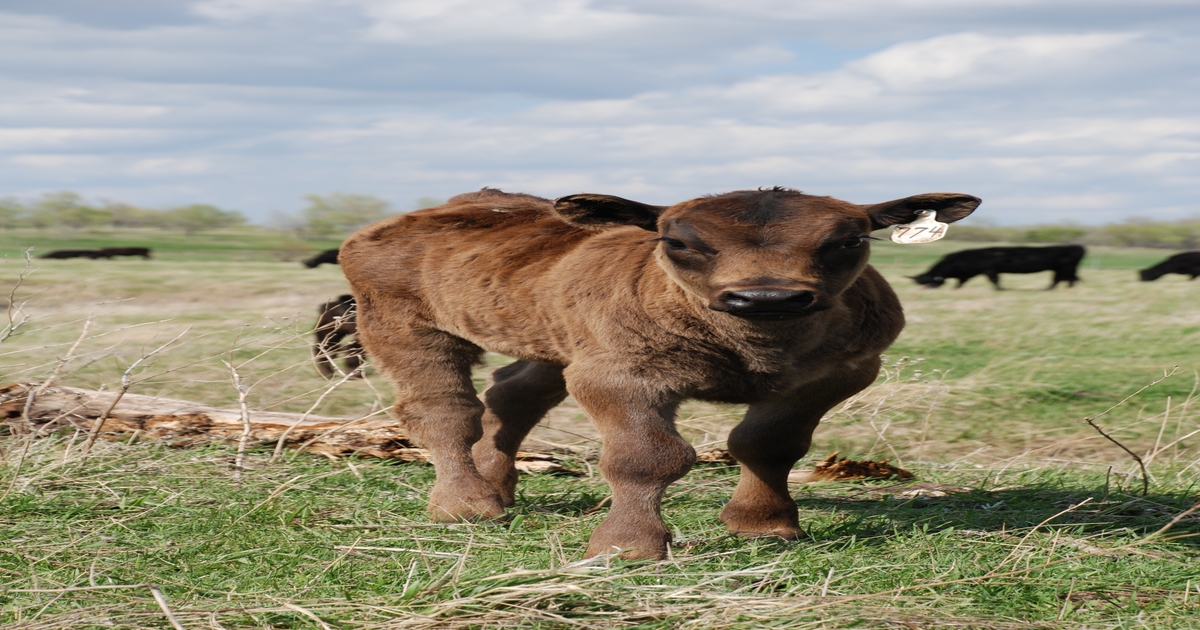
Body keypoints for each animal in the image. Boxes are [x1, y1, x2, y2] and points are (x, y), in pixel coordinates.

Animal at [340, 186, 981, 560]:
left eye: (849, 239)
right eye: (678, 241)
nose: (766, 295)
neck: (757, 349)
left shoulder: (837, 374)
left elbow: (767, 444)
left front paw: (763, 524)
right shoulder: (616, 373)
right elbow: (646, 458)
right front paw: (626, 545)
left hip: (552, 336)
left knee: (512, 398)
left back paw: (496, 485)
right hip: (401, 322)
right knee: (445, 412)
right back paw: (465, 503)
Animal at [911, 245, 1085, 290]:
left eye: (927, 280)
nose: (923, 290)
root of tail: (1077, 246)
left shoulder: (990, 270)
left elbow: (994, 281)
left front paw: (999, 289)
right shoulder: (971, 273)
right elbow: (962, 281)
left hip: (1065, 268)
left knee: (1061, 279)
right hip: (1065, 269)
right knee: (1066, 279)